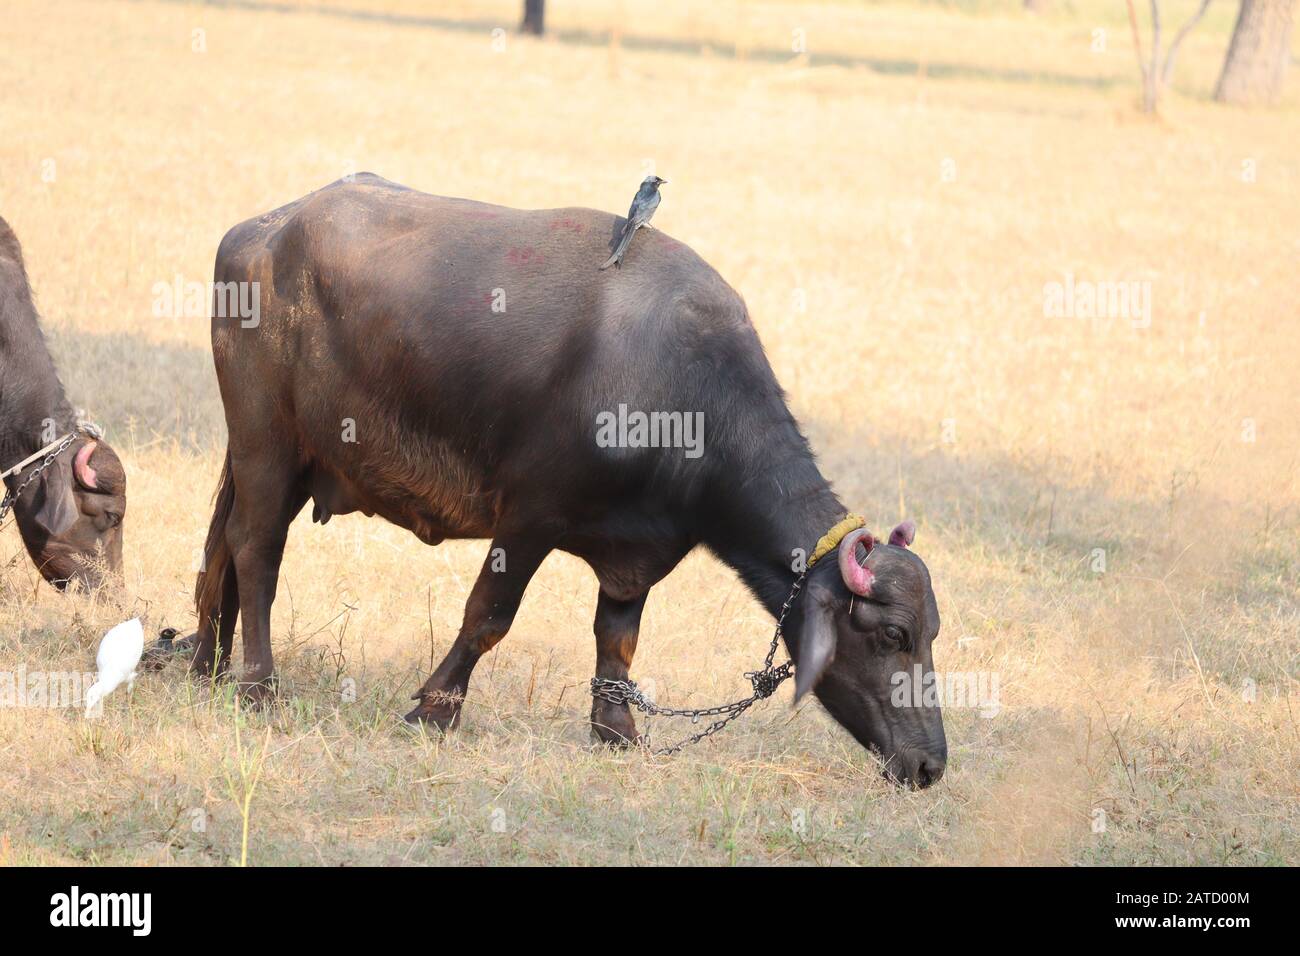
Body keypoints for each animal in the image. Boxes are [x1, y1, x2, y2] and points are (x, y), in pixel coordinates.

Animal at [191, 174, 946, 787]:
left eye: (931, 633)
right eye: (892, 636)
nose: (931, 765)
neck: (685, 393)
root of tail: (261, 232)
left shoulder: (638, 555)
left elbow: (617, 641)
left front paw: (617, 732)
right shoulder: (530, 517)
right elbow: (489, 616)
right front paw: (433, 709)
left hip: (285, 457)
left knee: (223, 547)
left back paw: (207, 664)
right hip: (266, 442)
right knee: (256, 550)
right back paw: (257, 686)